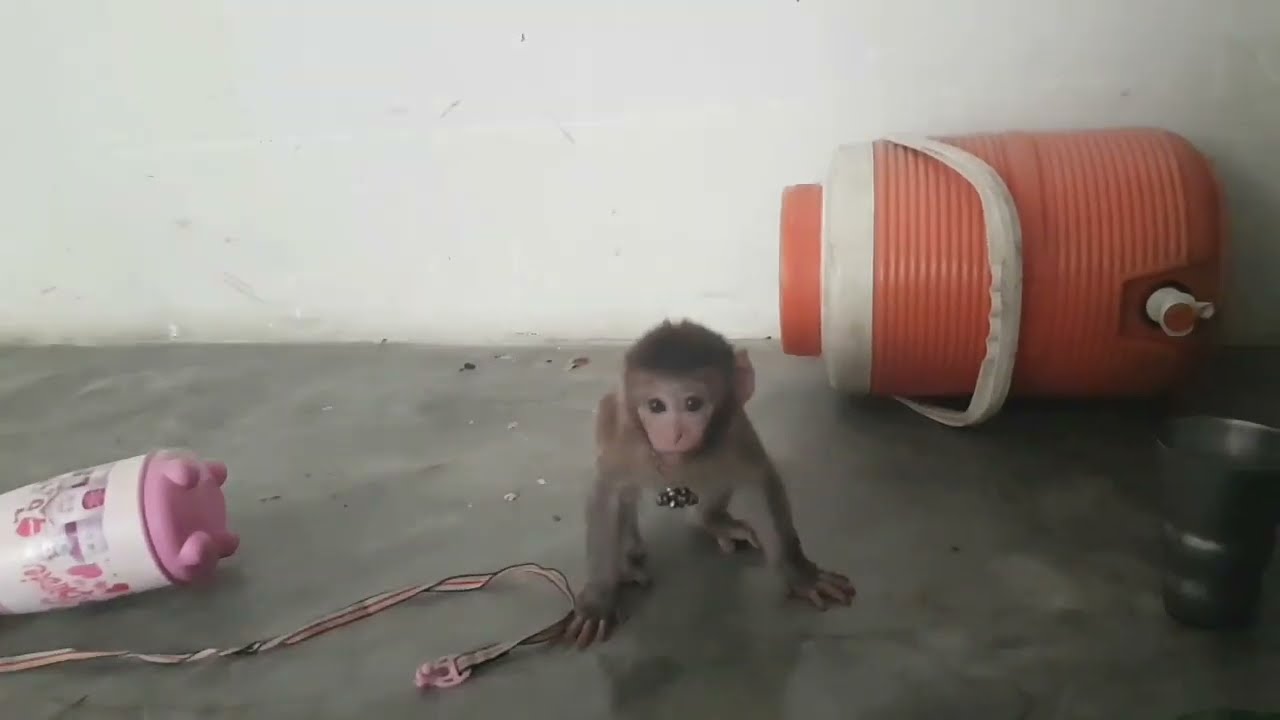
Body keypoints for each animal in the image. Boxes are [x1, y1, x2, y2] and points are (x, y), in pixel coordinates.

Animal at [562, 319, 855, 648]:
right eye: (656, 405)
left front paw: (801, 574)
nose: (673, 435)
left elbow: (758, 480)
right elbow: (608, 494)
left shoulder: (734, 433)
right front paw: (598, 599)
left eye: (692, 403)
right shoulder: (628, 445)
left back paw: (711, 520)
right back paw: (625, 565)